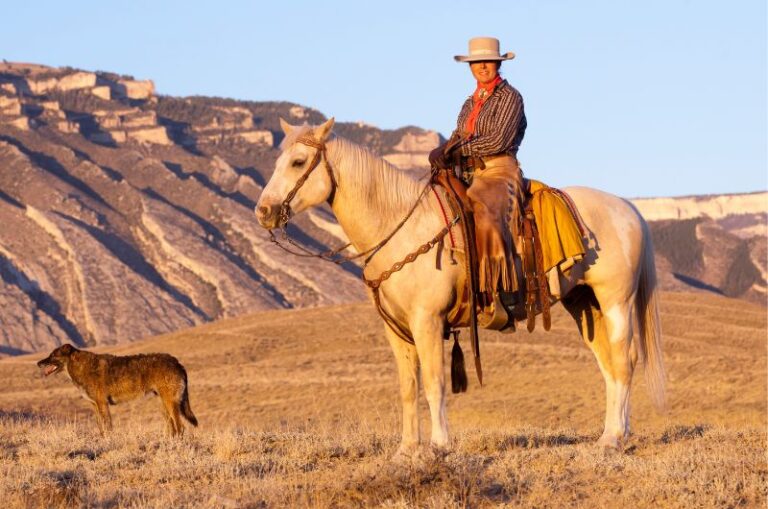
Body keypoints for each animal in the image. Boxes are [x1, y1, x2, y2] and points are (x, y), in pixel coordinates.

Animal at [255, 118, 666, 457]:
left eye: (298, 162)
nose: (263, 211)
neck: (403, 227)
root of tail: (629, 209)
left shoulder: (428, 322)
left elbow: (434, 382)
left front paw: (439, 446)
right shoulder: (396, 331)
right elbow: (408, 388)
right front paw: (407, 450)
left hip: (616, 301)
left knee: (625, 359)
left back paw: (614, 439)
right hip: (584, 304)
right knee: (609, 365)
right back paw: (611, 434)